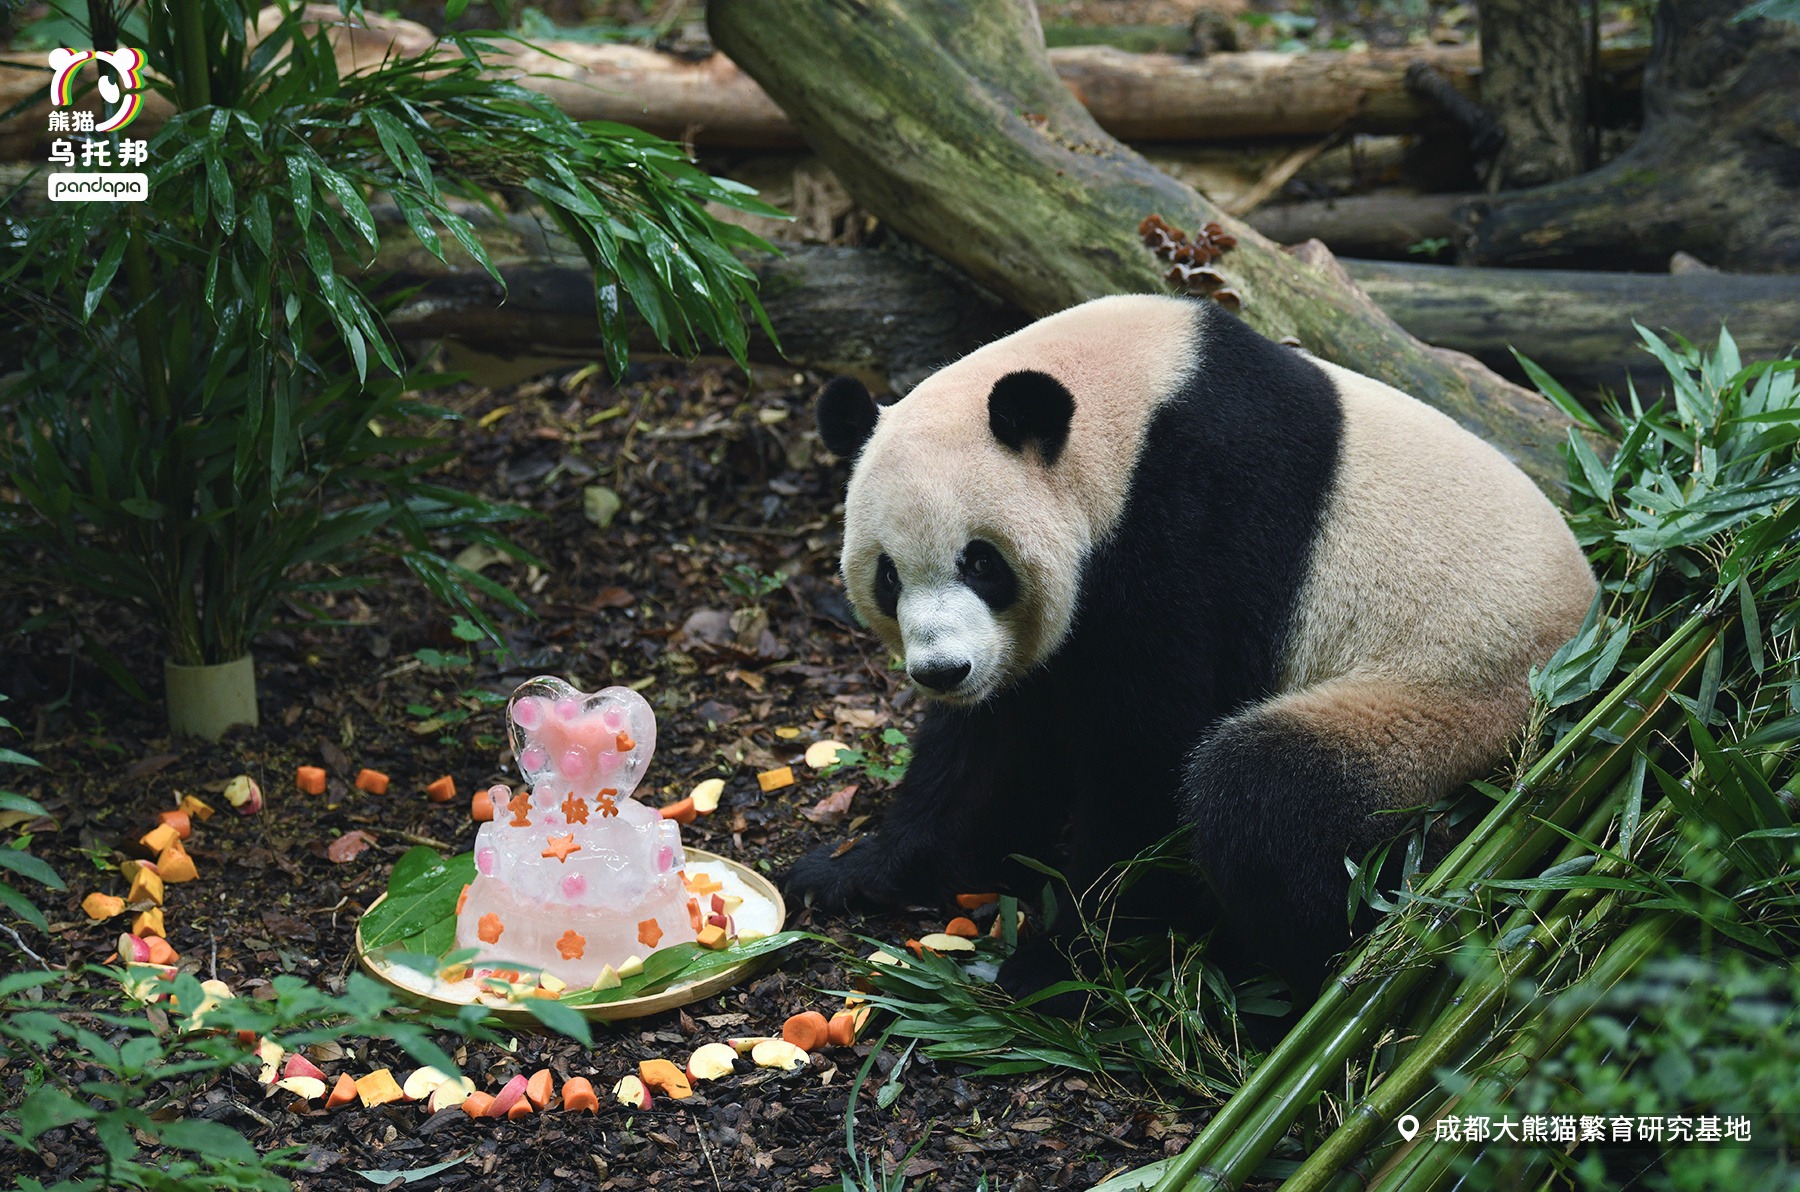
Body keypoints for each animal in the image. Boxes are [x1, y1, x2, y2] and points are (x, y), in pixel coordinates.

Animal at [786, 293, 1597, 1001]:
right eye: (888, 576)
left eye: (981, 562)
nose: (943, 670)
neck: (1126, 414)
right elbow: (993, 750)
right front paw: (849, 872)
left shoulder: (1189, 522)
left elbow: (1149, 745)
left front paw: (1069, 956)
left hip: (1449, 706)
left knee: (1270, 798)